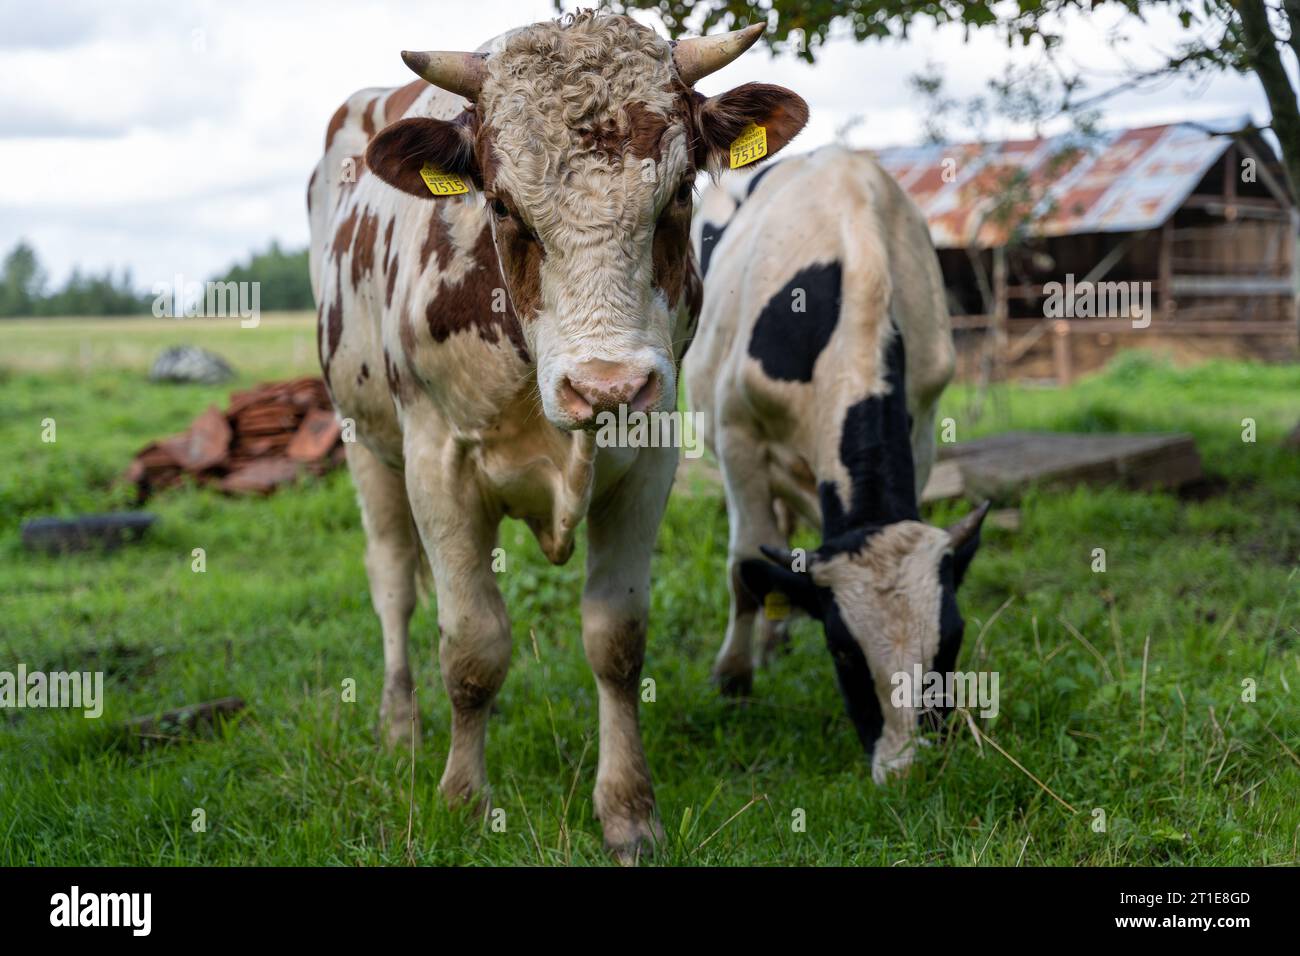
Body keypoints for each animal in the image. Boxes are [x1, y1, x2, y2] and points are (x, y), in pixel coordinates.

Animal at [306, 11, 808, 860]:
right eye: (505, 207)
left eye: (680, 193)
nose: (606, 384)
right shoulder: (438, 461)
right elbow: (472, 644)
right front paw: (461, 800)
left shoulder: (649, 458)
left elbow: (616, 640)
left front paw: (629, 811)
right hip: (364, 440)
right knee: (394, 584)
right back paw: (402, 723)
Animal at [684, 145, 989, 783]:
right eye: (843, 651)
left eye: (951, 639)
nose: (908, 767)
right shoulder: (736, 435)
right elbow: (745, 565)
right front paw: (733, 679)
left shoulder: (922, 419)